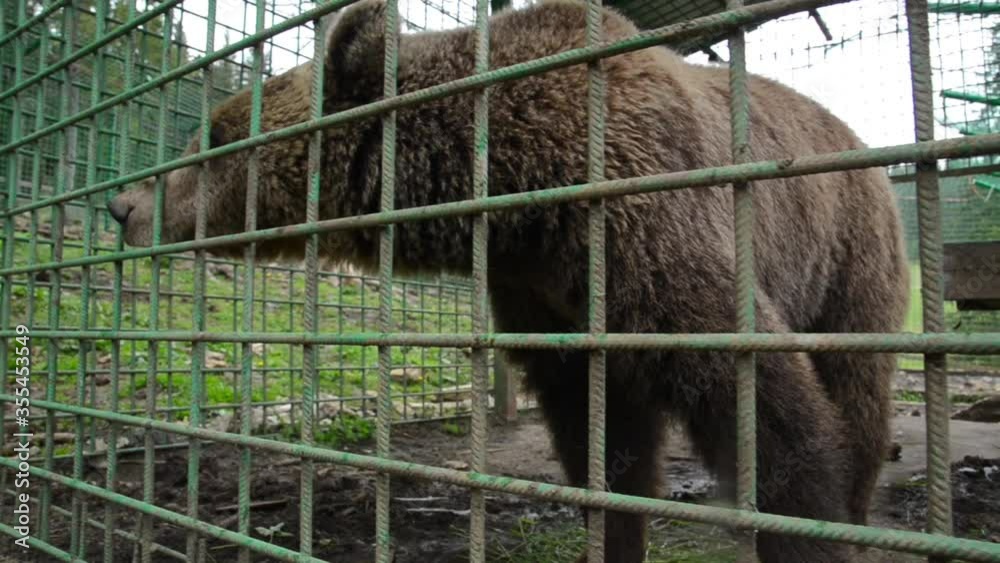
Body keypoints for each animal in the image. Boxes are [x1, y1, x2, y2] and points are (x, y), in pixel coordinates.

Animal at [107, 1, 909, 561]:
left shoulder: (653, 225)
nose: (124, 205)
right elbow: (601, 436)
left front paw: (807, 527)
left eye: (213, 136)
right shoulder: (546, 295)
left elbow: (769, 408)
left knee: (857, 385)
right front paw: (614, 531)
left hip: (848, 251)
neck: (522, 187)